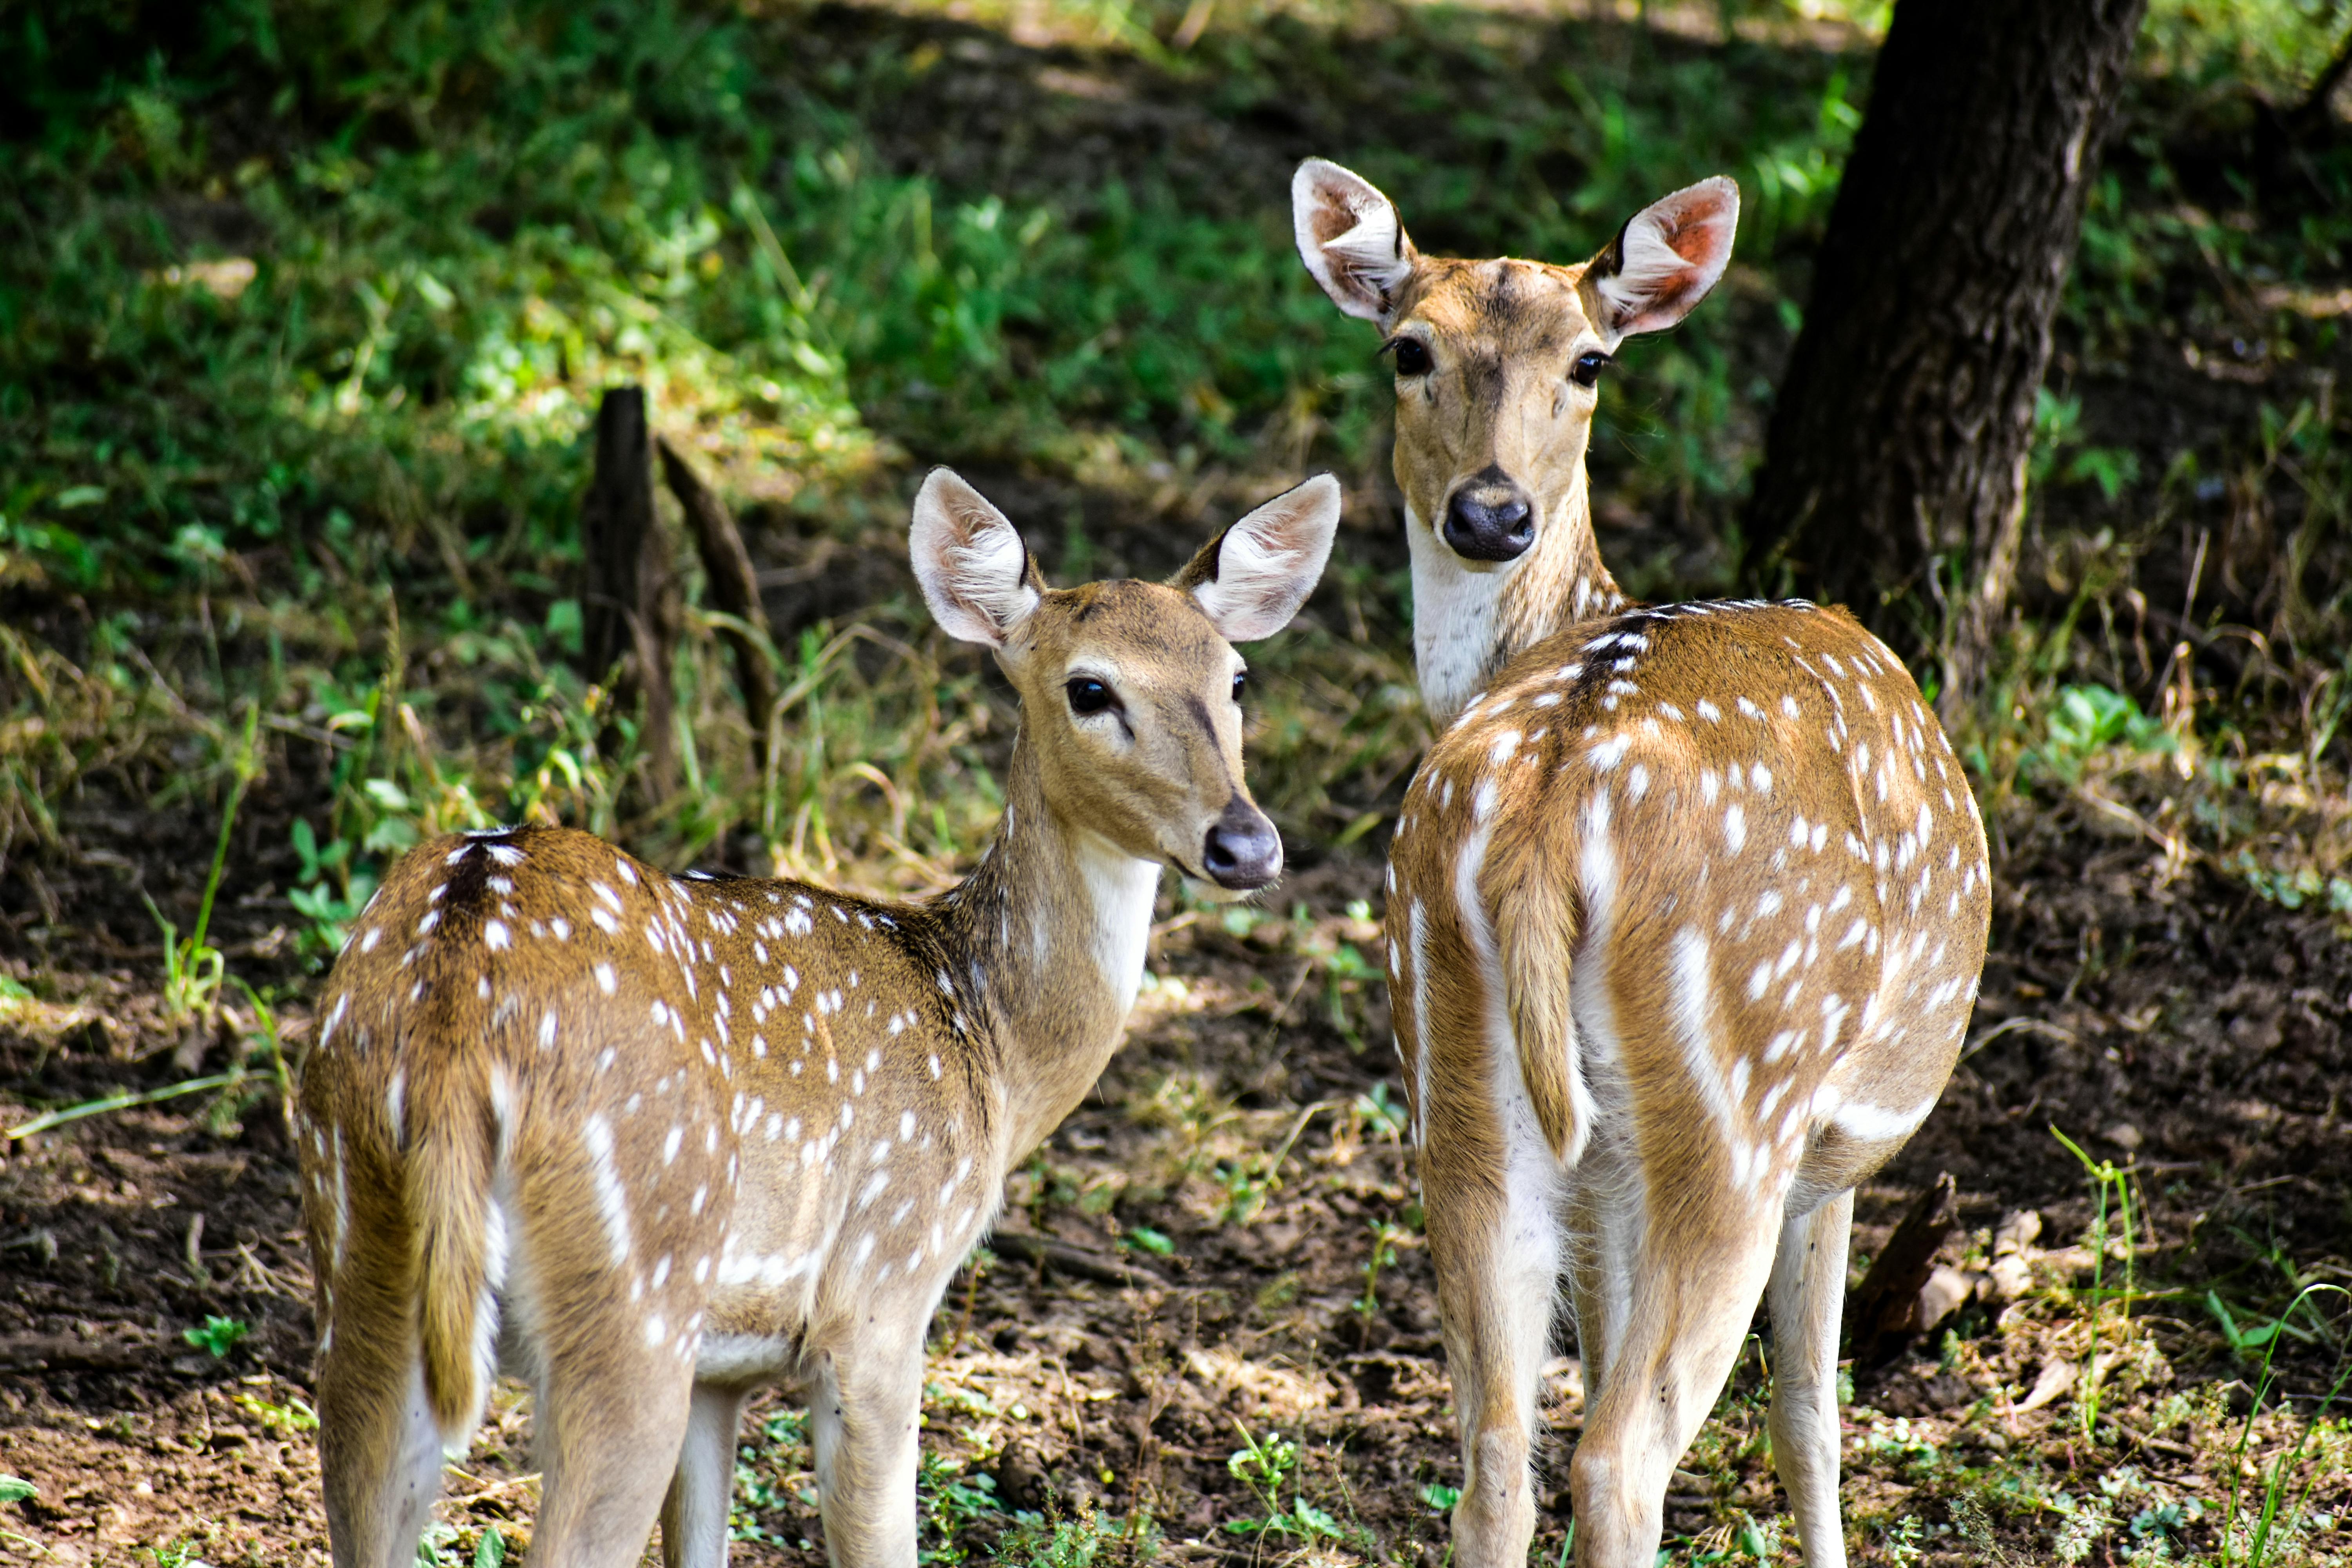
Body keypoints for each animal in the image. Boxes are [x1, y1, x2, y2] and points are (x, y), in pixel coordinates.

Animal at [292, 467, 1340, 1568]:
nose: (1246, 843)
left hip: (357, 1251)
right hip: (631, 1296)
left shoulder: (722, 1369)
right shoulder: (881, 1292)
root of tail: (458, 1013)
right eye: (1090, 688)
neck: (990, 1046)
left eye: (1236, 680)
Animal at [1292, 159, 1992, 1568]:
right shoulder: (1829, 1152)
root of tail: (1547, 821)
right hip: (1744, 1108)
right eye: (1408, 348)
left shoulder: (1601, 1181)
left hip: (1456, 1087)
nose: (1490, 512)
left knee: (1498, 1456)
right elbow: (1810, 1414)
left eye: (1591, 360)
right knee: (1621, 1460)